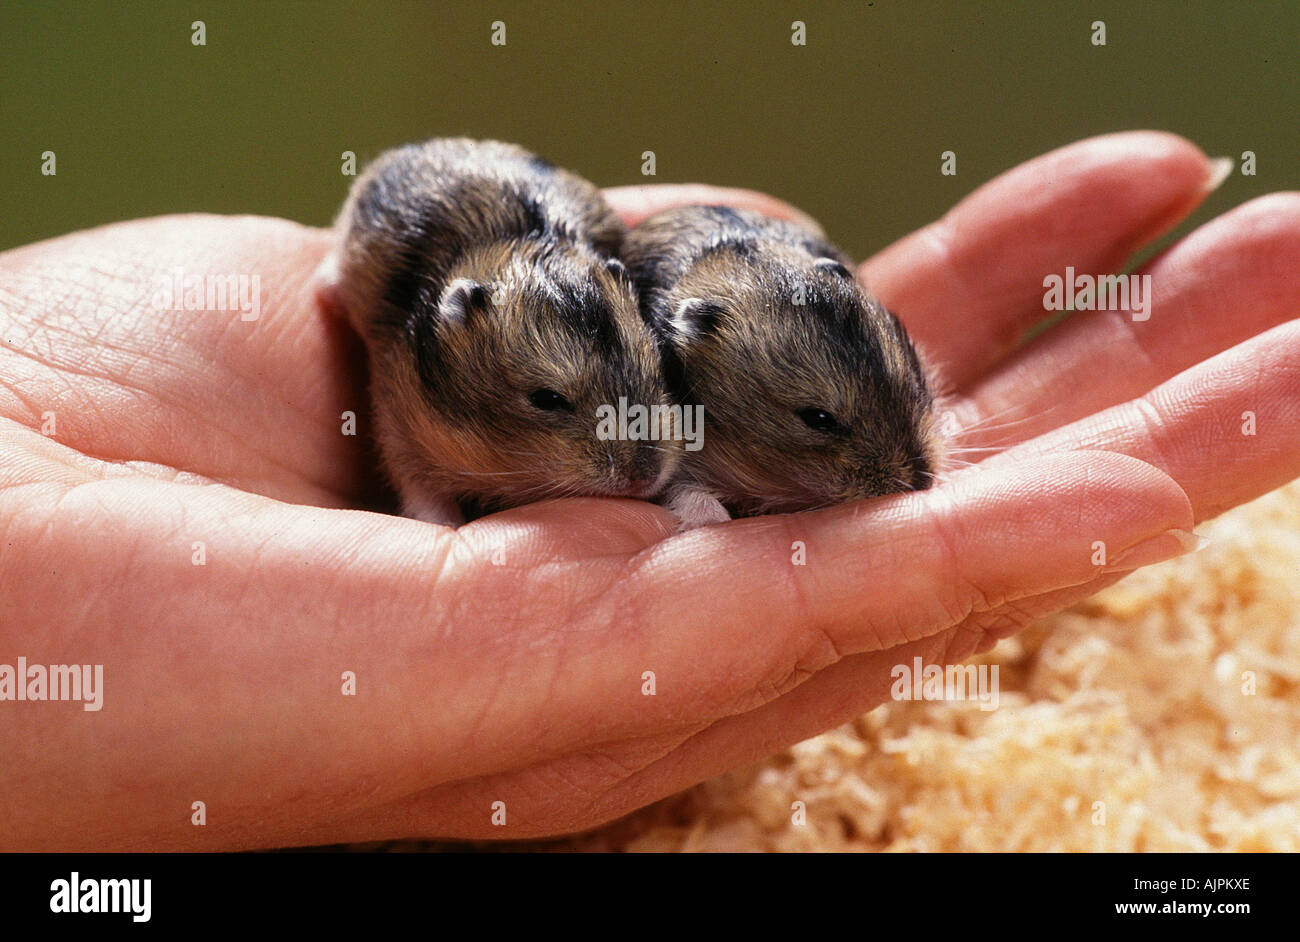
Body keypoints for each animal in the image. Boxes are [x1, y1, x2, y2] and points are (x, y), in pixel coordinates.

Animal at [320, 138, 681, 526]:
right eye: (547, 399)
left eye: (660, 373)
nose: (646, 477)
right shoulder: (398, 421)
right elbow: (423, 490)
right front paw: (447, 523)